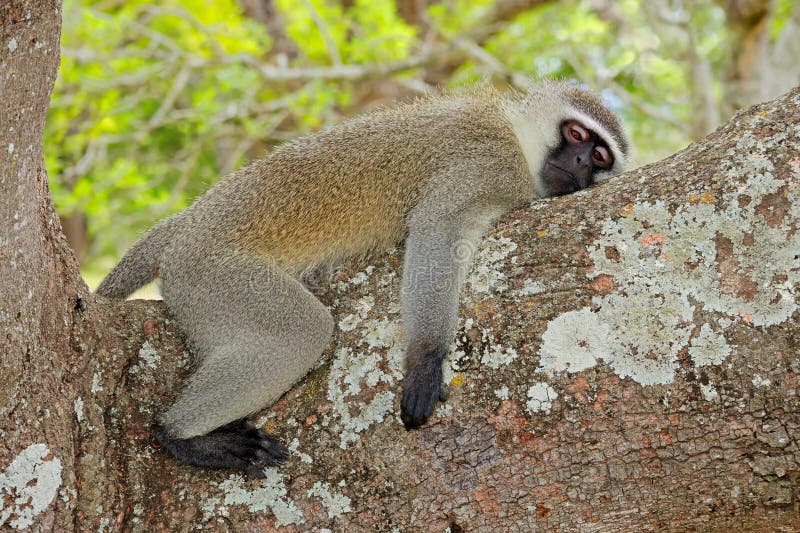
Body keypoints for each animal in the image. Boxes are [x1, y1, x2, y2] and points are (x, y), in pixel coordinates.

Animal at [96, 81, 629, 477]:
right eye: (577, 137)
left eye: (601, 157)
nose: (581, 164)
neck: (515, 135)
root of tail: (187, 228)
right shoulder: (485, 165)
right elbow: (437, 230)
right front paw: (426, 360)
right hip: (210, 276)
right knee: (302, 332)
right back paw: (178, 435)